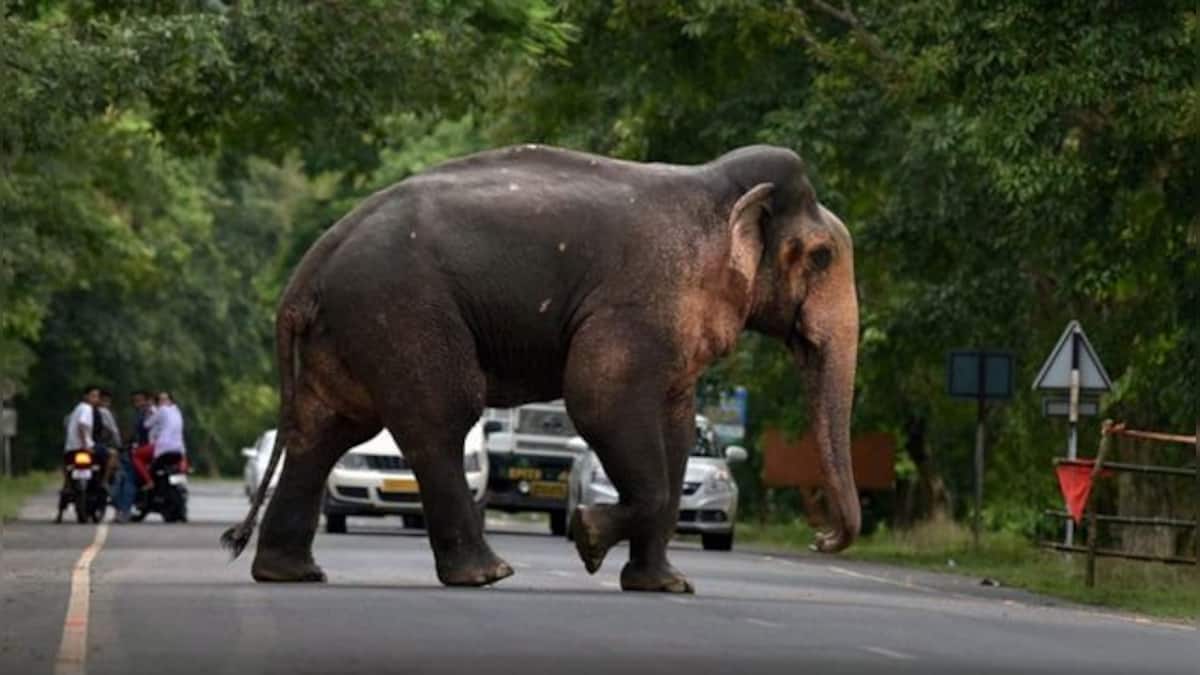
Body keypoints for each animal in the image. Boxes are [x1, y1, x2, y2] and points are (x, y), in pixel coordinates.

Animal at [222, 143, 860, 593]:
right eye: (821, 256)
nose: (820, 538)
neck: (715, 190)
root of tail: (313, 261)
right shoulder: (637, 302)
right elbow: (599, 399)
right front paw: (588, 537)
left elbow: (677, 430)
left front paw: (666, 586)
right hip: (400, 311)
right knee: (439, 419)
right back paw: (487, 574)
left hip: (351, 326)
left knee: (326, 429)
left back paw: (291, 574)